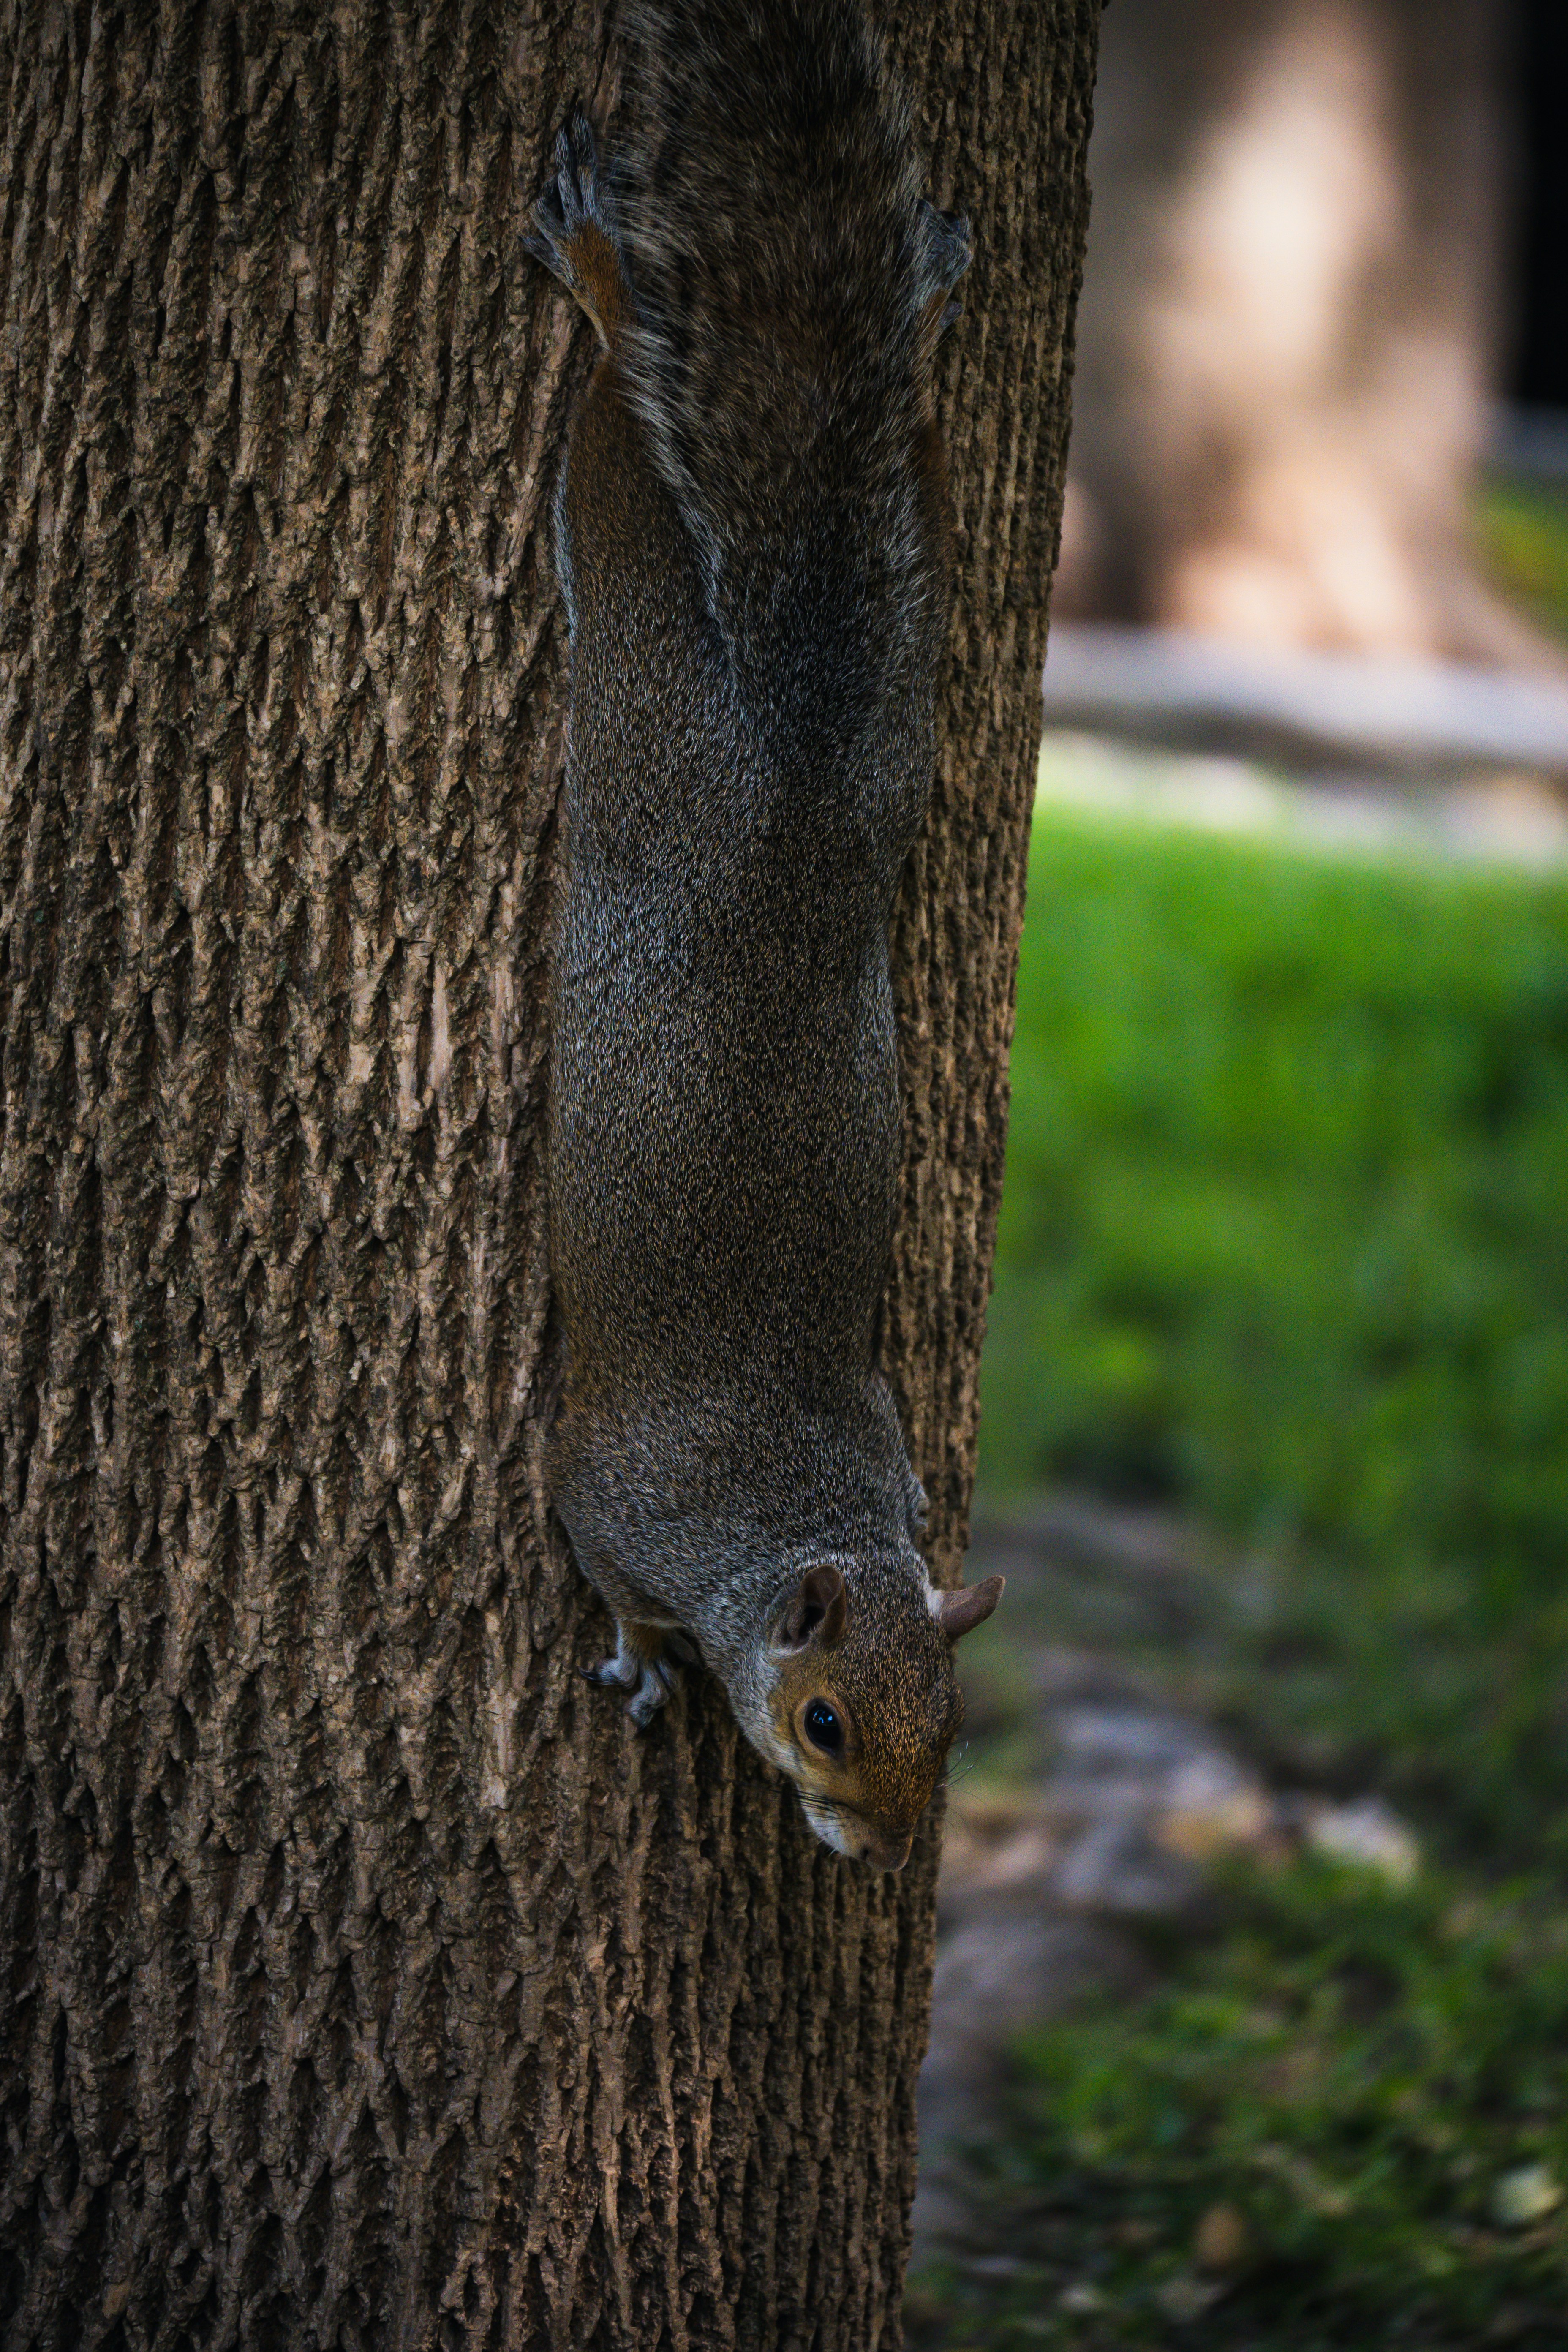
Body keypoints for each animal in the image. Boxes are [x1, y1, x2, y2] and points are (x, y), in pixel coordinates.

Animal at [527, 0, 1002, 1873]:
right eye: (822, 1722)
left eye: (956, 1724)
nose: (875, 1849)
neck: (801, 1506)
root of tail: (789, 765)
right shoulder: (608, 1494)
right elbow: (607, 1580)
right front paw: (643, 1664)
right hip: (646, 657)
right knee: (612, 425)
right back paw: (597, 271)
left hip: (892, 703)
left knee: (903, 448)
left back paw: (922, 316)